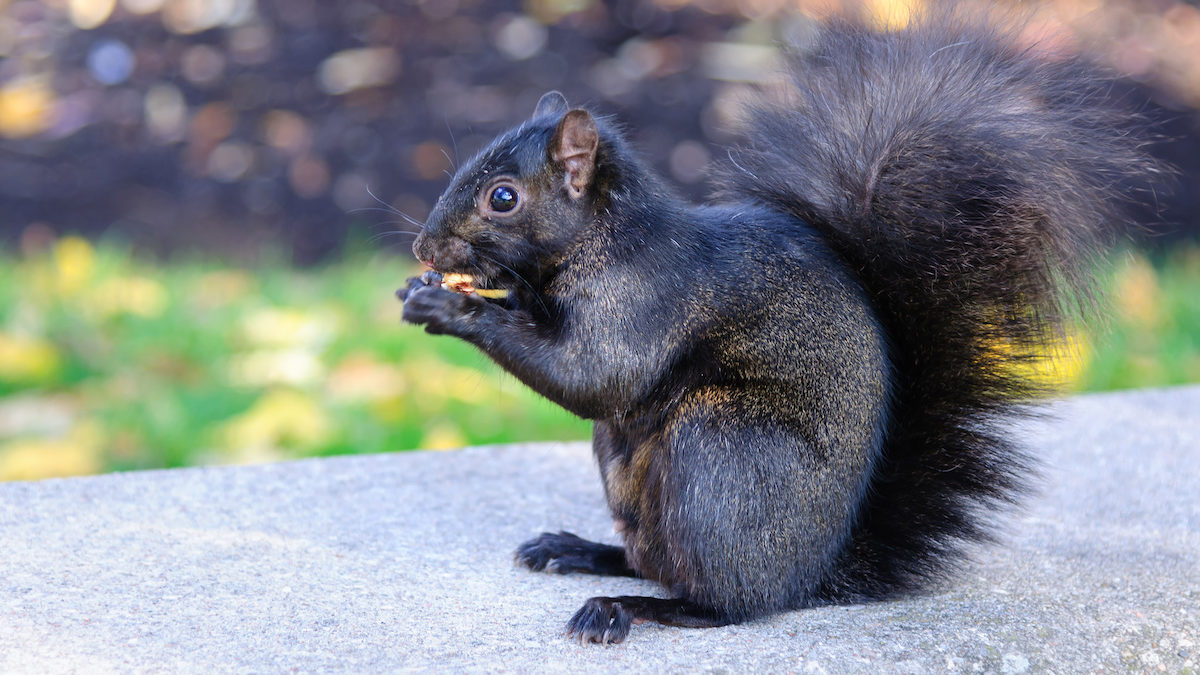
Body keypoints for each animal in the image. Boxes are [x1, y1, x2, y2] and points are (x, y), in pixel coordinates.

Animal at [398, 12, 1155, 644]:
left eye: (503, 197)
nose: (424, 248)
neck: (604, 241)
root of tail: (812, 573)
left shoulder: (644, 300)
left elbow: (594, 375)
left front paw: (454, 309)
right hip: (633, 477)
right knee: (658, 561)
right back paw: (581, 550)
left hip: (721, 451)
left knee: (728, 602)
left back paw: (626, 609)